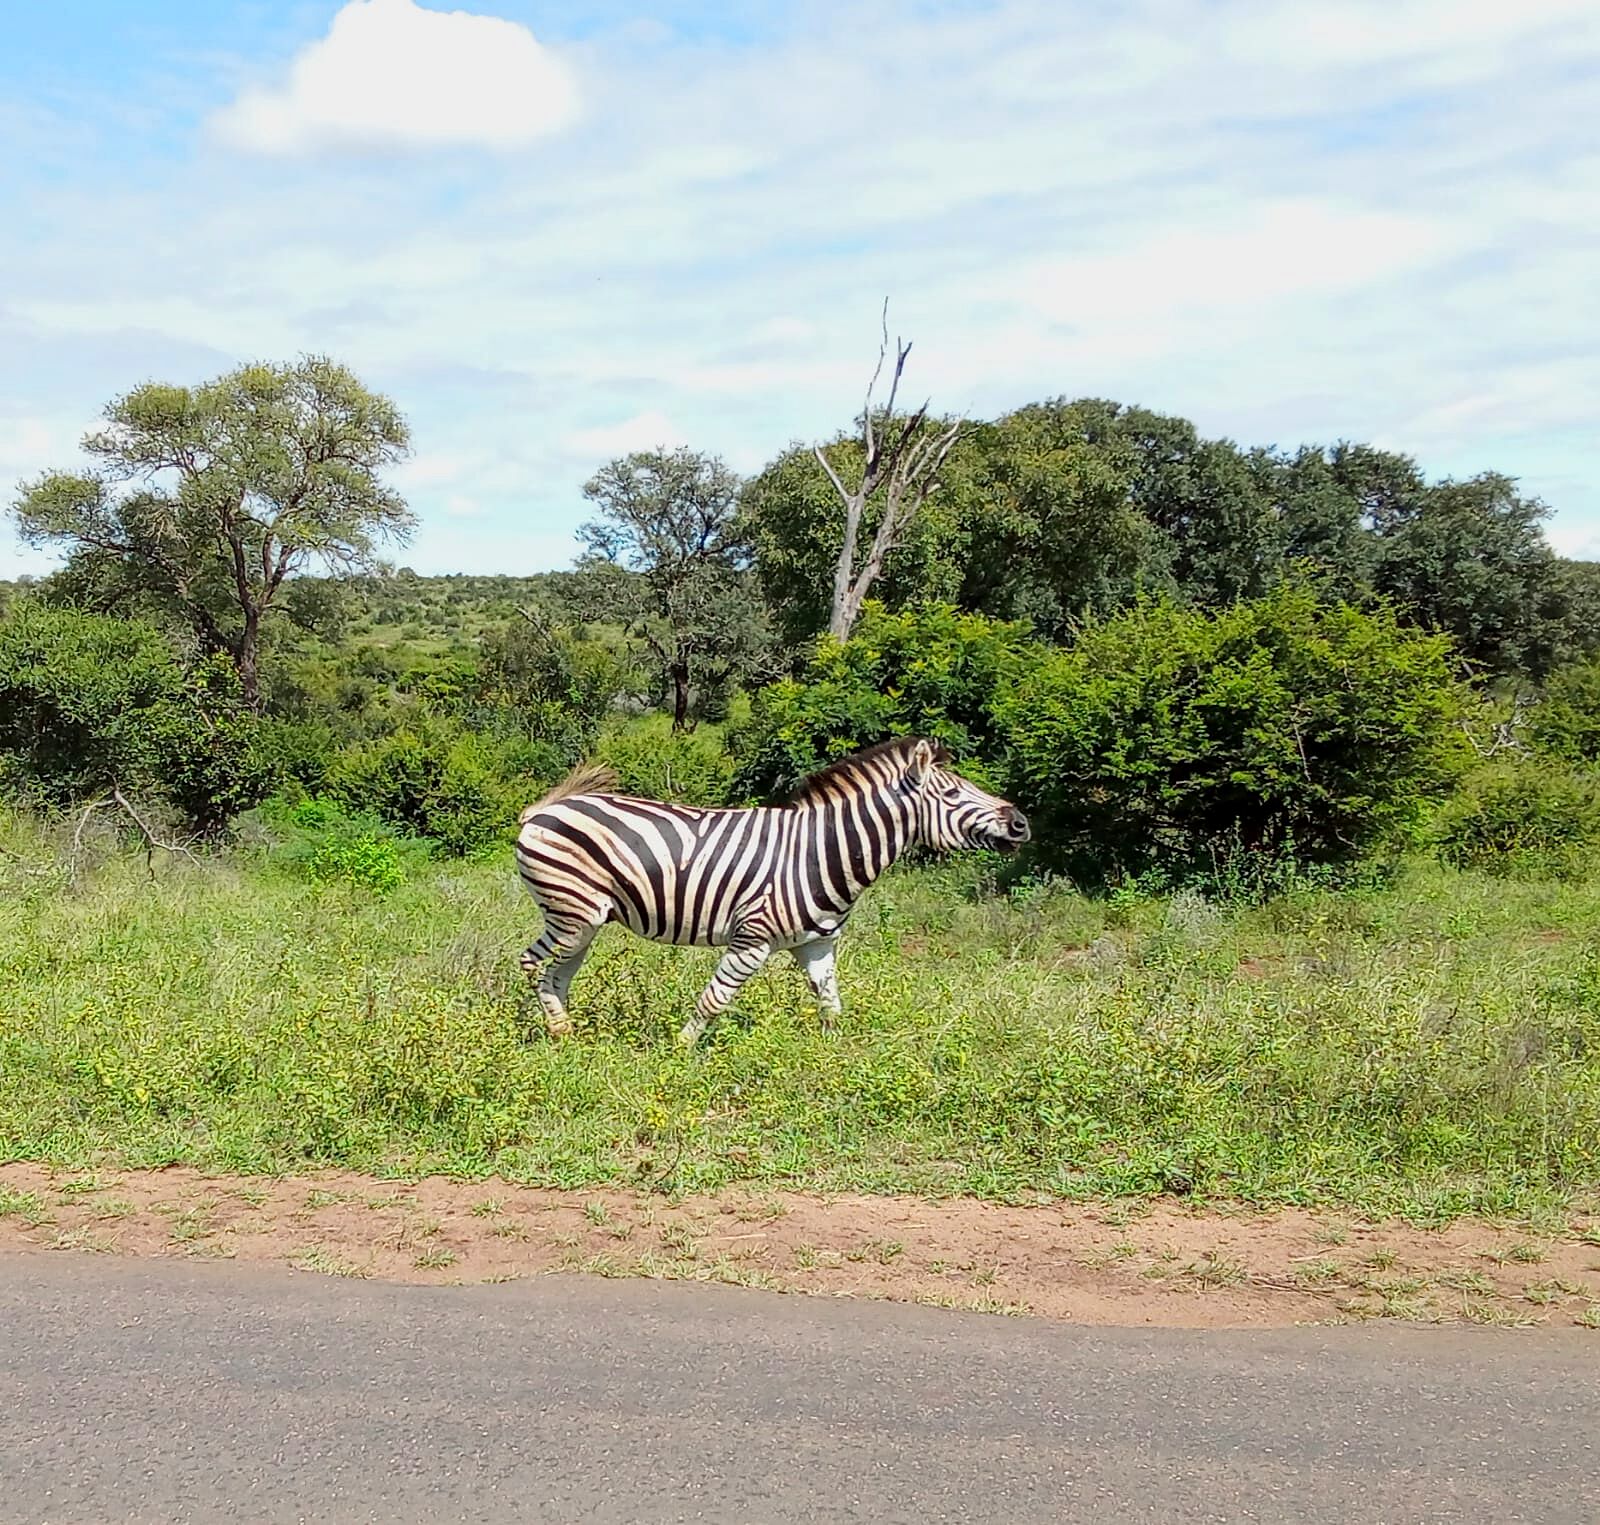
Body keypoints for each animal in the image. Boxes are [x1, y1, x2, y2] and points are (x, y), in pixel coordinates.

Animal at [514, 736, 1030, 1045]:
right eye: (953, 795)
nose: (1022, 823)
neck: (821, 852)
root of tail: (544, 809)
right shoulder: (752, 939)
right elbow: (713, 999)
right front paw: (679, 1052)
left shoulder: (817, 943)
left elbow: (830, 1004)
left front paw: (834, 1058)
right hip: (571, 913)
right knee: (533, 964)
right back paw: (548, 1033)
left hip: (587, 921)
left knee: (557, 975)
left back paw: (568, 1033)